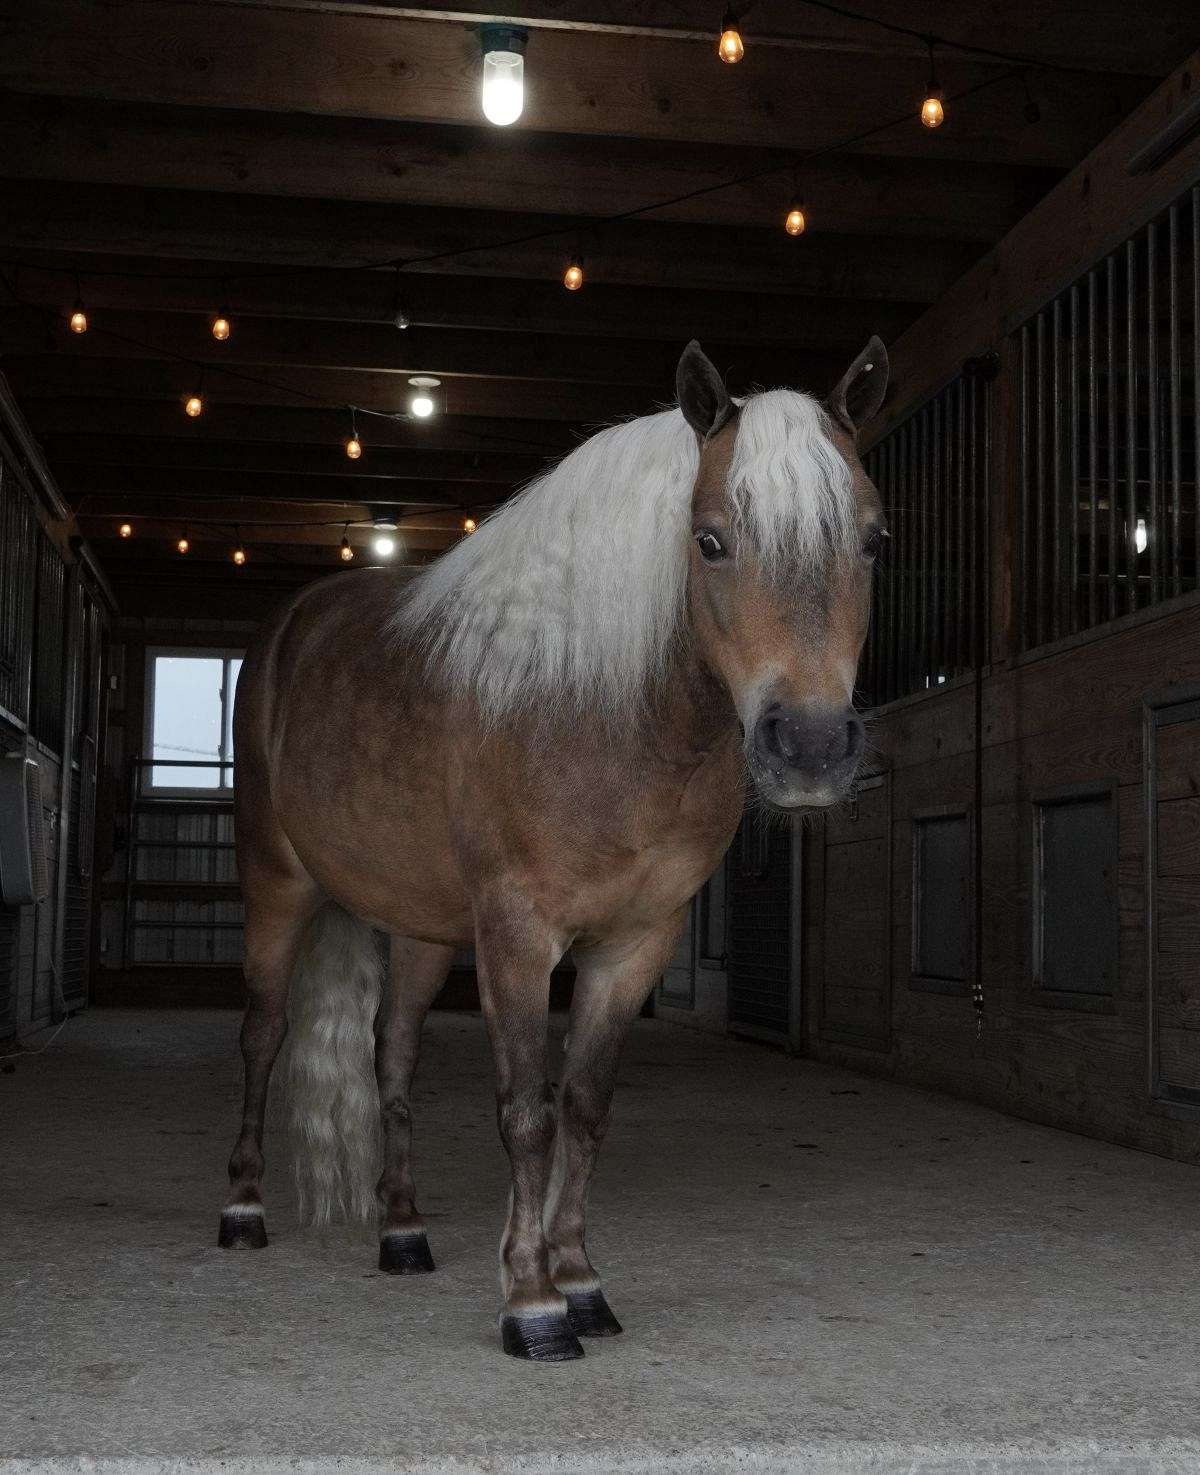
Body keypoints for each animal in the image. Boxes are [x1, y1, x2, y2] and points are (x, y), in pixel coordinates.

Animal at [217, 337, 890, 1362]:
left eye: (871, 540)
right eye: (710, 540)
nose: (810, 746)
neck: (600, 715)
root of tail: (294, 627)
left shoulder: (635, 945)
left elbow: (584, 1107)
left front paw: (581, 1281)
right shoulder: (519, 938)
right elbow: (527, 1113)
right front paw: (531, 1304)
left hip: (419, 930)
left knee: (392, 1057)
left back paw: (402, 1230)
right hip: (278, 887)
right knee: (262, 1035)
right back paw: (245, 1208)